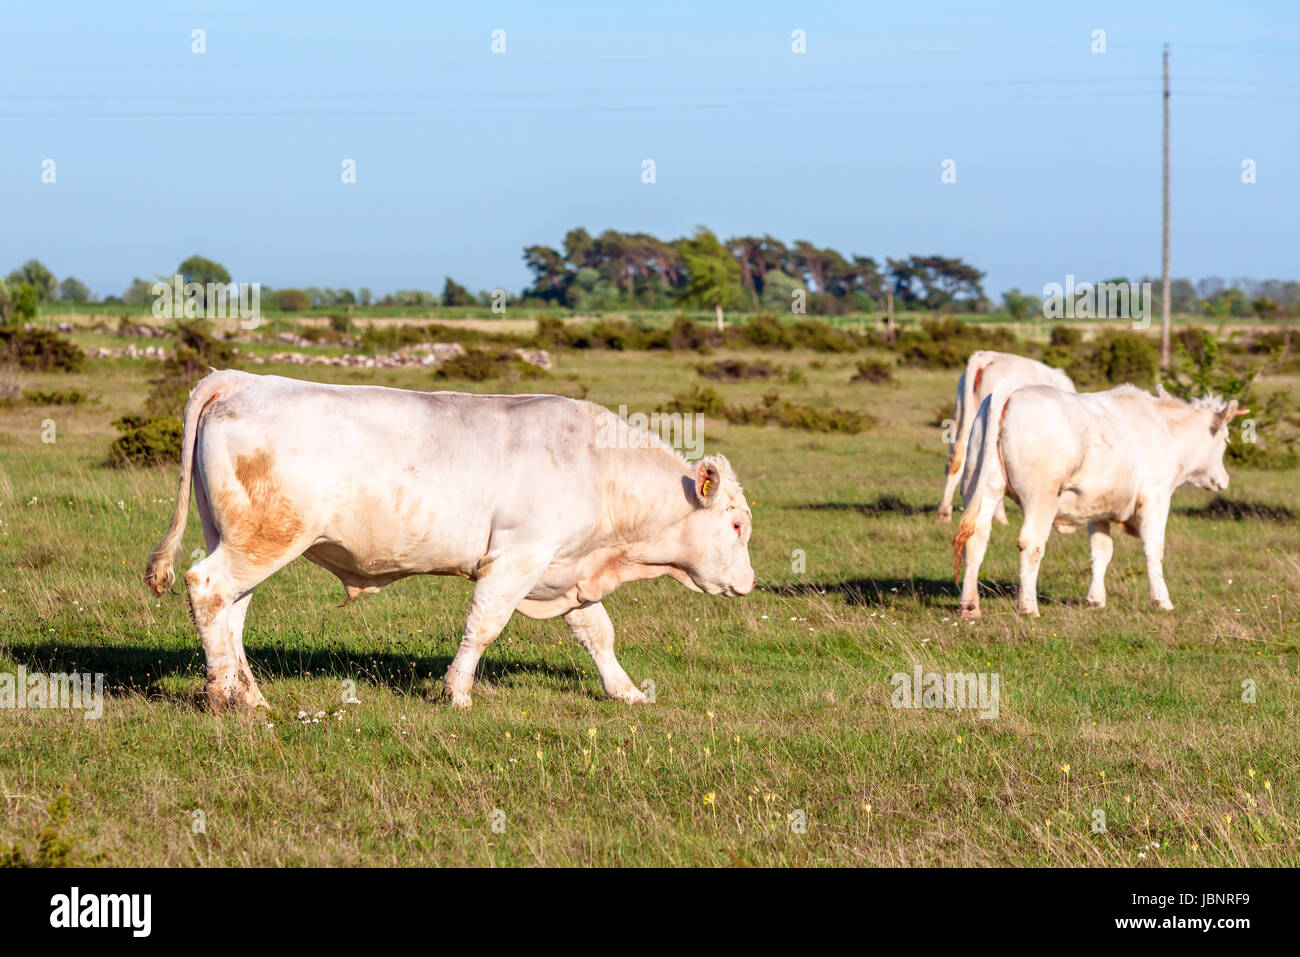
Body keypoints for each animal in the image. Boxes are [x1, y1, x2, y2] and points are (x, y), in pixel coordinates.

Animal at [145, 370, 755, 711]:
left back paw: (250, 696)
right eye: (736, 525)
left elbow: (597, 634)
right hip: (266, 538)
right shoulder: (516, 559)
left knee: (231, 612)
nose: (750, 582)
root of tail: (242, 379)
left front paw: (625, 692)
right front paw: (457, 693)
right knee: (207, 589)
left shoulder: (565, 569)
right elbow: (483, 625)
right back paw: (220, 696)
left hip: (243, 537)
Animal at [952, 380, 1245, 619]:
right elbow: (1154, 549)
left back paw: (970, 606)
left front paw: (1095, 599)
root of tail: (1013, 388)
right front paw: (1162, 600)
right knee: (1031, 544)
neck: (1164, 428)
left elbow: (1102, 551)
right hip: (1042, 496)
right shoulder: (1157, 497)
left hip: (983, 486)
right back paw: (1028, 606)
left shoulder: (1097, 508)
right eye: (1226, 438)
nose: (1224, 479)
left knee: (976, 538)